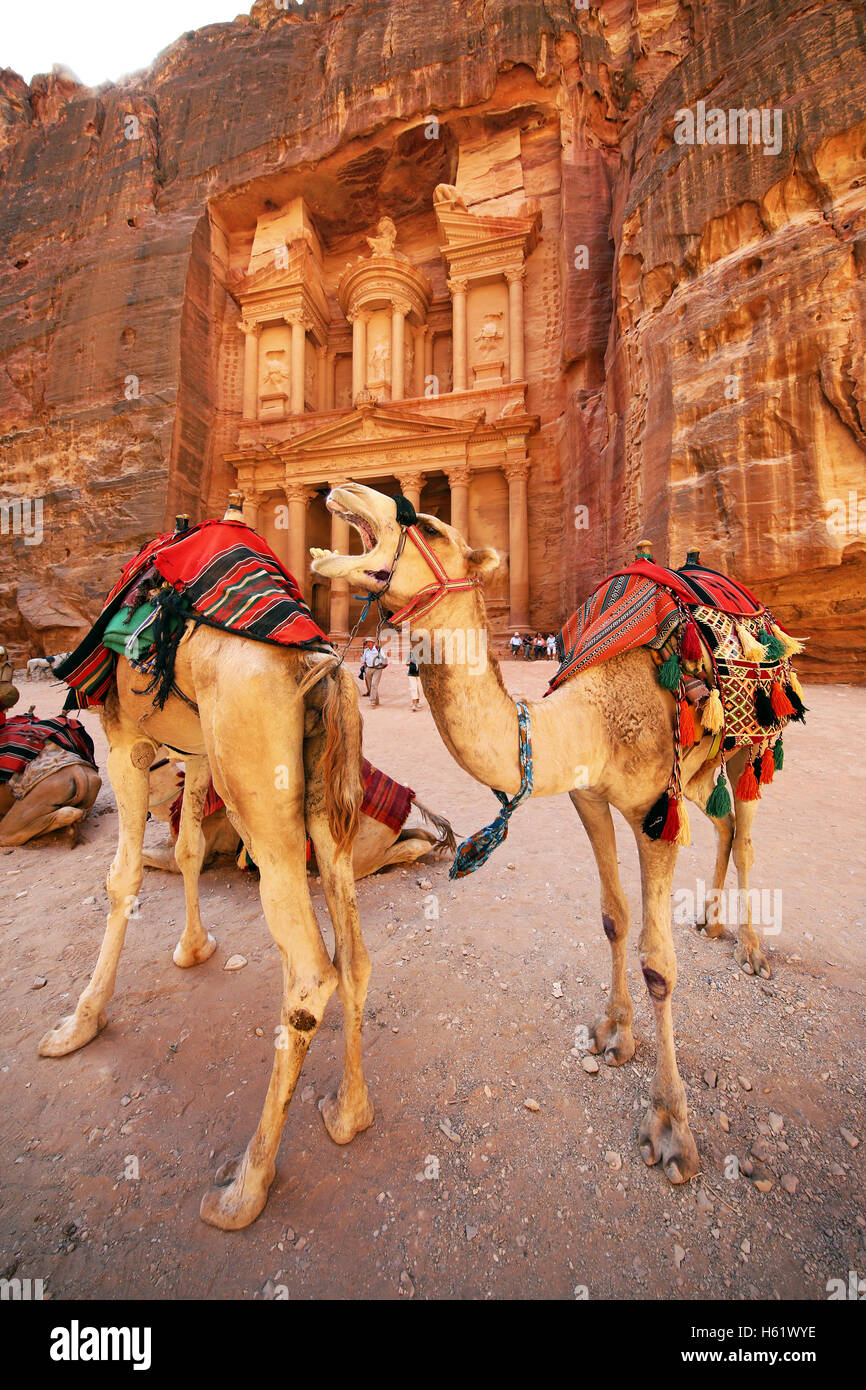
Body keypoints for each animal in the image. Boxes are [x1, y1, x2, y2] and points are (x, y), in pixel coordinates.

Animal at [37, 627, 375, 1230]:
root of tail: (323, 666)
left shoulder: (125, 741)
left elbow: (122, 878)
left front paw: (79, 1023)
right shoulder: (193, 754)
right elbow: (188, 848)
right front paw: (194, 948)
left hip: (259, 789)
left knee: (311, 974)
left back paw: (245, 1186)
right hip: (329, 797)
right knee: (354, 957)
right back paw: (348, 1112)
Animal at [311, 483, 785, 1185]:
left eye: (431, 525)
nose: (347, 489)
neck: (593, 715)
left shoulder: (655, 815)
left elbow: (659, 964)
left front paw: (672, 1129)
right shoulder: (589, 796)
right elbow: (614, 918)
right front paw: (614, 1035)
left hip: (752, 743)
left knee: (746, 834)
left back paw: (751, 949)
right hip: (707, 770)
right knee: (725, 823)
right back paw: (711, 919)